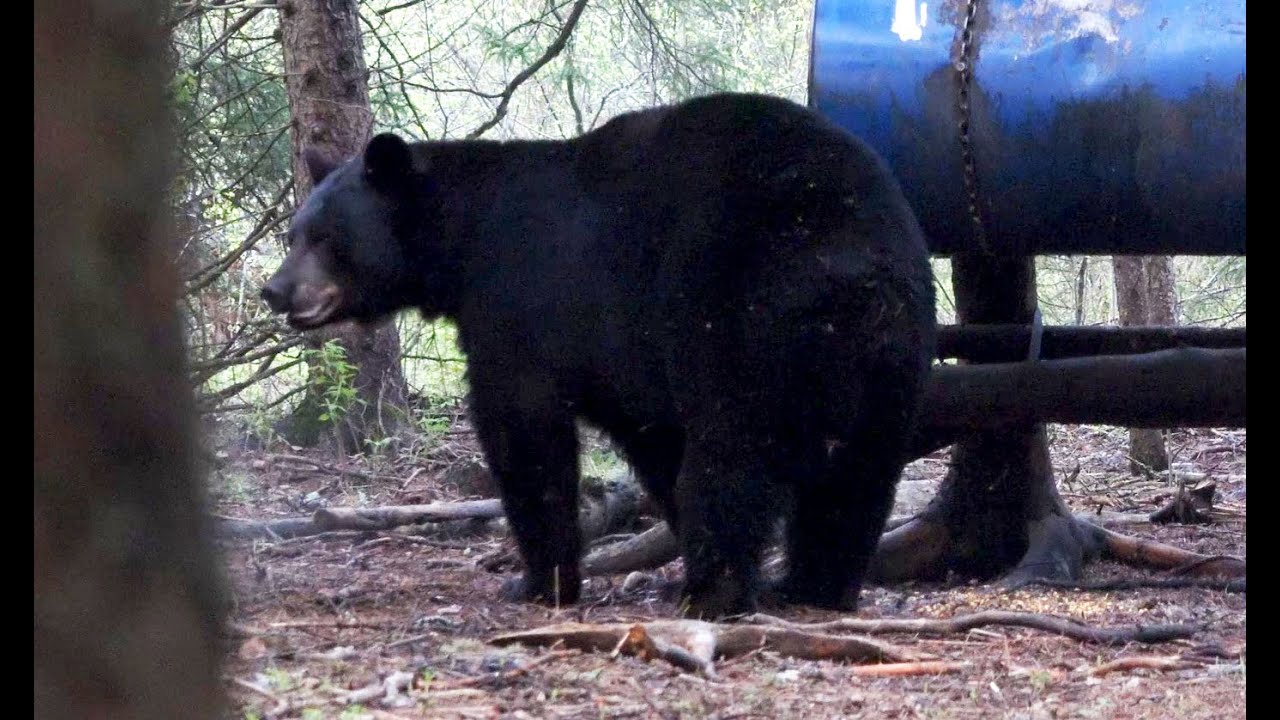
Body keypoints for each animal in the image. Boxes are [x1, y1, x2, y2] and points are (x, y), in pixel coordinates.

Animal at [261, 92, 936, 619]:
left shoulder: (521, 307)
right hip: (891, 350)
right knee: (860, 469)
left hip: (739, 316)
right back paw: (816, 585)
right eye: (293, 233)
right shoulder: (626, 357)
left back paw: (713, 592)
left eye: (324, 237)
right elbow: (651, 437)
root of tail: (849, 259)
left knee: (732, 456)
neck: (462, 240)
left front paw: (539, 582)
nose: (275, 290)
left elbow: (525, 435)